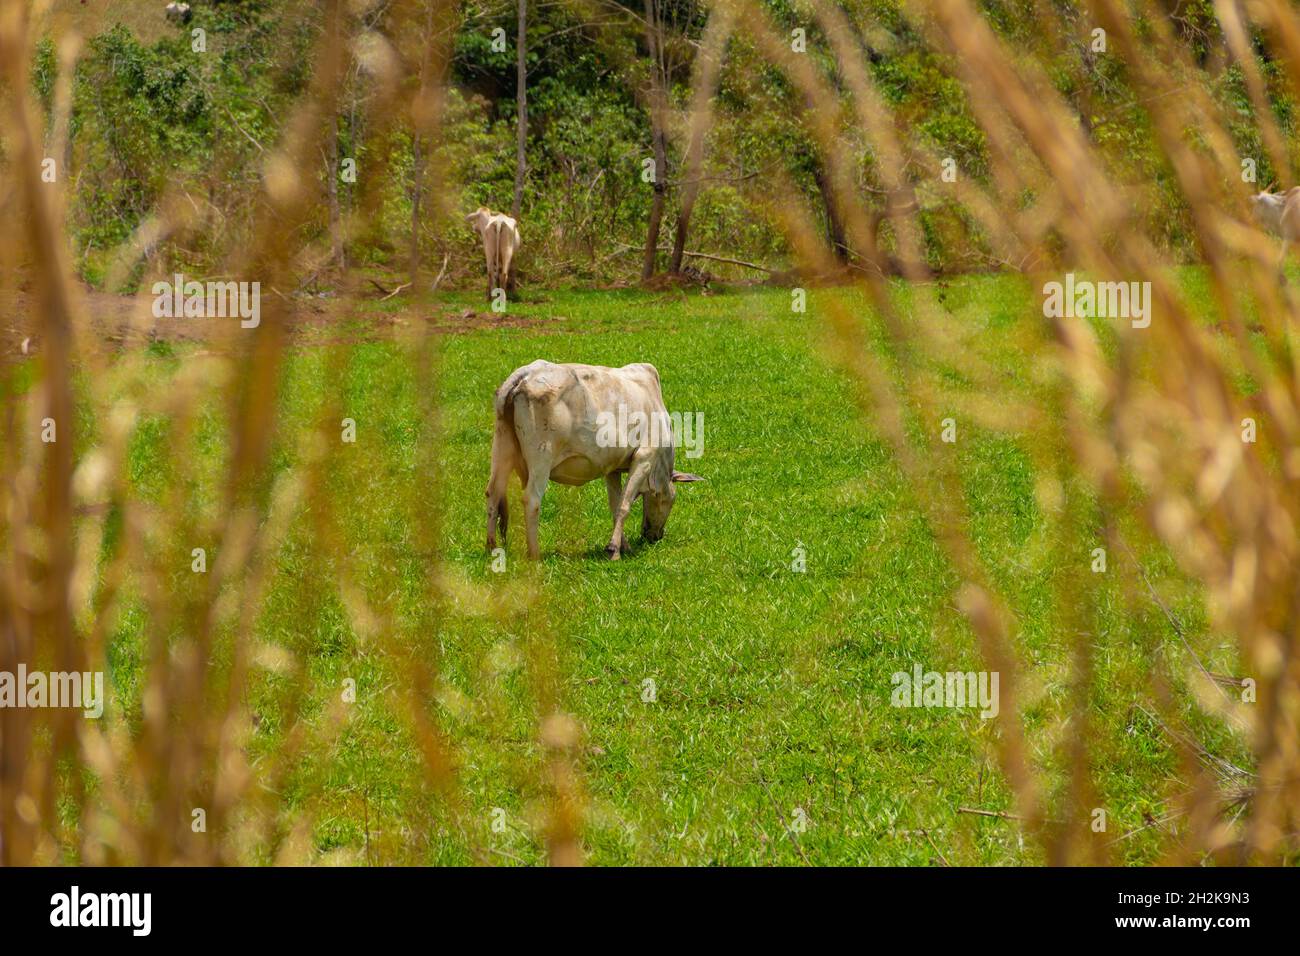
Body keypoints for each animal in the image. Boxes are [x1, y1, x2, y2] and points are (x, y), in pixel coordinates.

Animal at [486, 360, 703, 560]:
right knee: (531, 499)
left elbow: (615, 505)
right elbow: (624, 505)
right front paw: (614, 549)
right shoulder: (644, 458)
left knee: (493, 492)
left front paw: (623, 546)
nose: (656, 536)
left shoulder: (612, 468)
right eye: (671, 500)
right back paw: (534, 554)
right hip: (541, 458)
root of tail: (526, 373)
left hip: (502, 447)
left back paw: (491, 547)